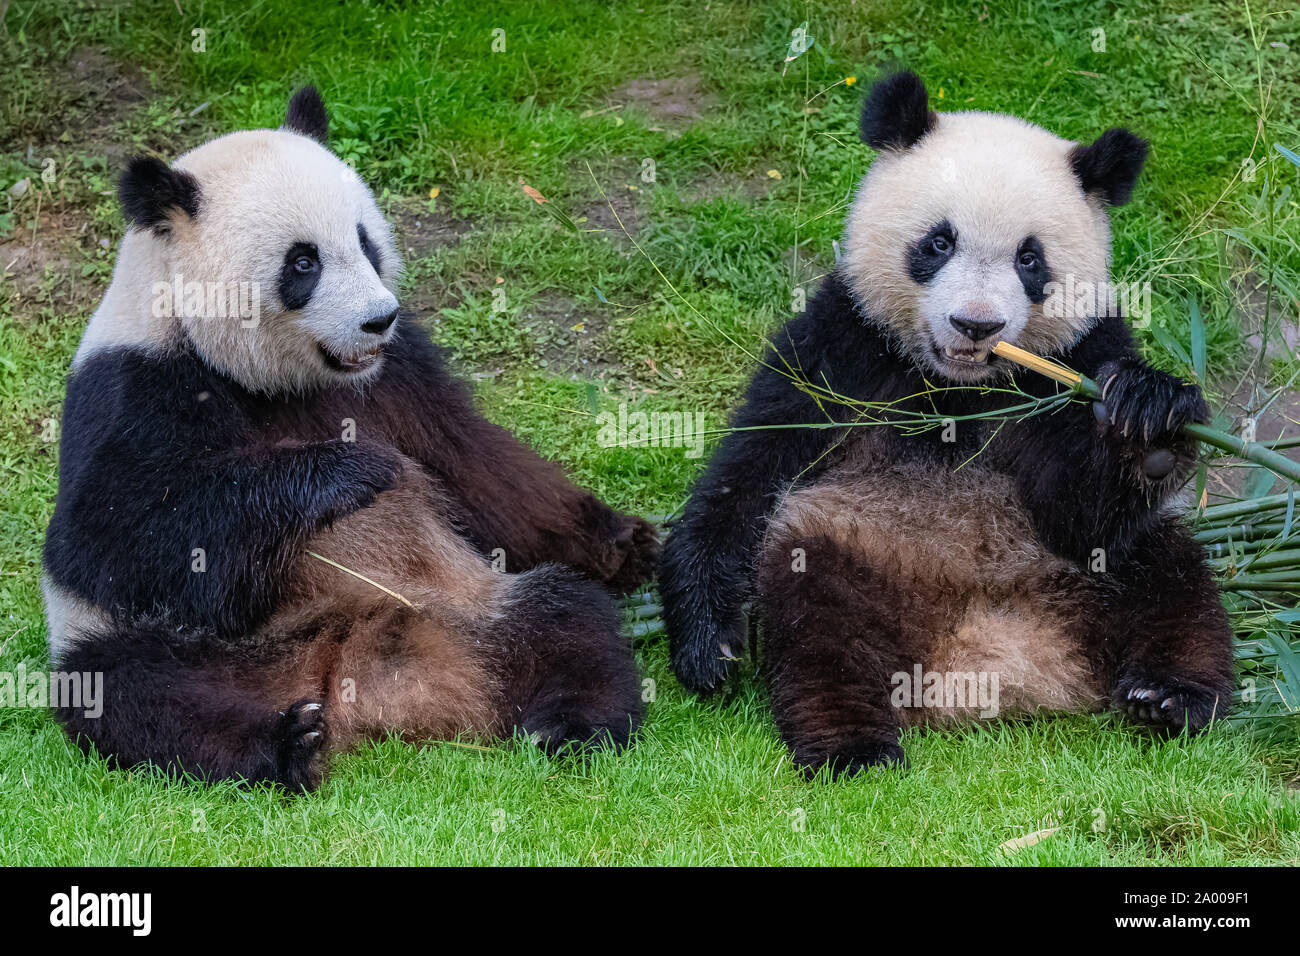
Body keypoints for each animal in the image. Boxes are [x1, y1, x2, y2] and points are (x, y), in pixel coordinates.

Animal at [43, 87, 660, 792]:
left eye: (364, 241)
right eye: (302, 262)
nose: (377, 319)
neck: (275, 376)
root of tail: (368, 687)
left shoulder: (399, 372)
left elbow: (475, 463)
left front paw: (623, 544)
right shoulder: (134, 387)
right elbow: (109, 538)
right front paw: (349, 472)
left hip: (475, 604)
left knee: (567, 621)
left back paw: (573, 725)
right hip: (187, 650)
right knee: (131, 691)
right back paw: (287, 745)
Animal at [659, 72, 1234, 777]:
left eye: (1030, 260)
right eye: (939, 242)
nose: (975, 324)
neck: (956, 386)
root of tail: (997, 664)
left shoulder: (1080, 358)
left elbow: (1085, 517)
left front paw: (1149, 423)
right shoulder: (840, 349)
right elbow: (749, 474)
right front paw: (709, 644)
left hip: (1098, 576)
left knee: (1170, 579)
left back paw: (1169, 696)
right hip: (853, 543)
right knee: (816, 626)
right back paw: (854, 747)